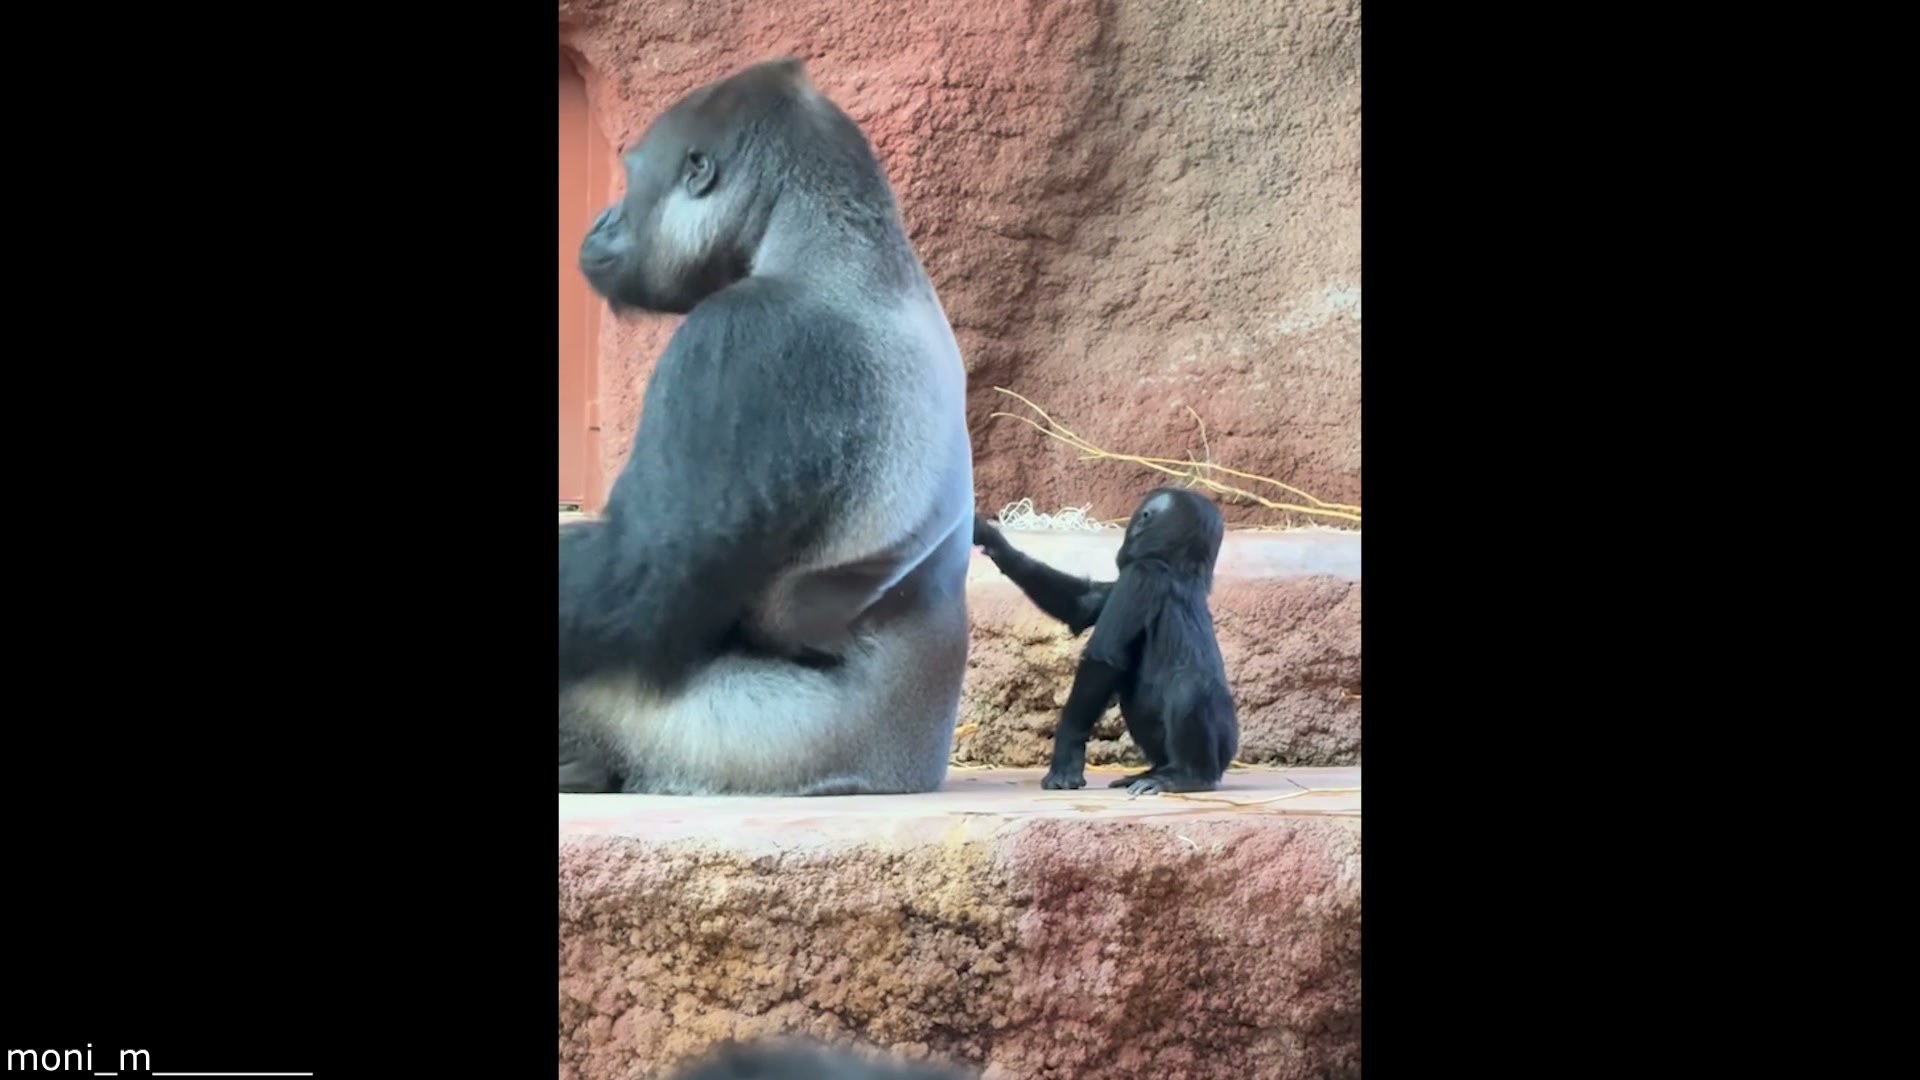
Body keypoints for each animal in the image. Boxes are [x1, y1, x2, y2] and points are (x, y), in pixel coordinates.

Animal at [560, 57, 974, 796]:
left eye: (631, 177)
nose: (601, 217)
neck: (833, 245)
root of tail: (914, 773)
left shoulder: (740, 337)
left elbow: (638, 574)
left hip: (768, 754)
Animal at [971, 487, 1239, 795]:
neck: (1179, 568)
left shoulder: (1140, 575)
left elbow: (1102, 660)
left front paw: (1068, 749)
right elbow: (1082, 604)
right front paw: (992, 540)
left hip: (1224, 746)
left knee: (1187, 686)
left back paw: (1190, 776)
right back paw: (1155, 771)